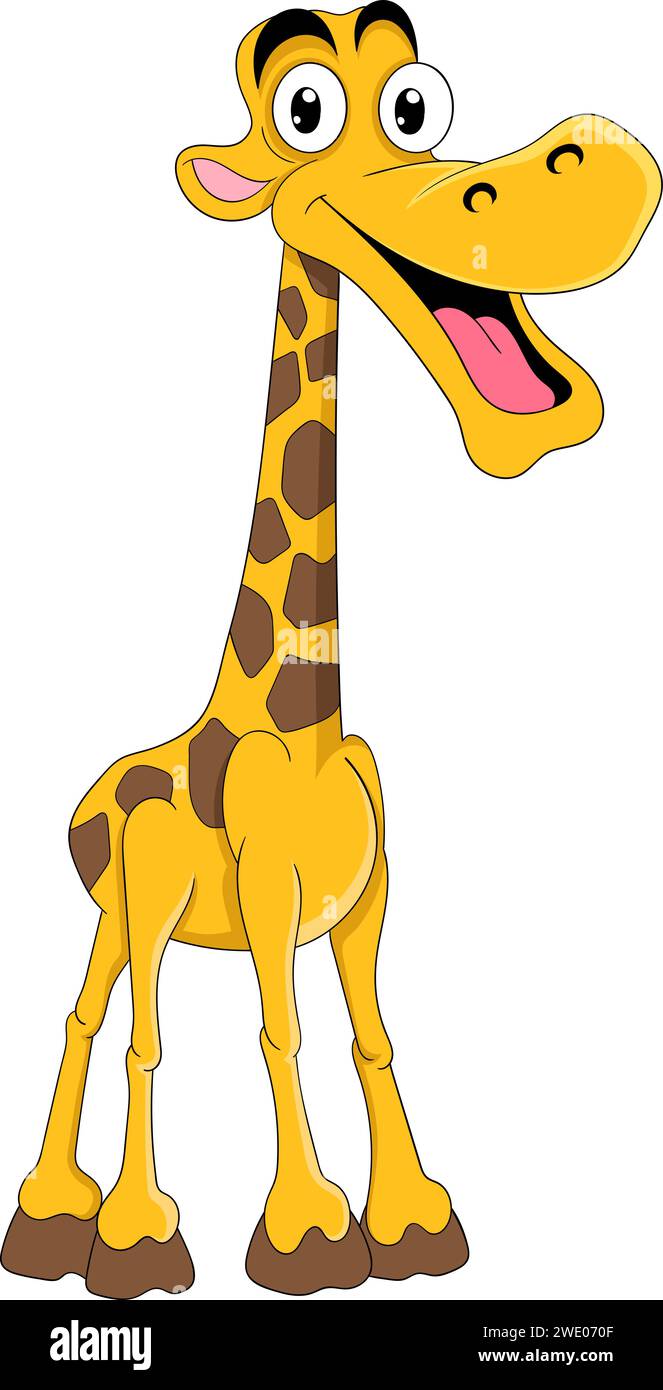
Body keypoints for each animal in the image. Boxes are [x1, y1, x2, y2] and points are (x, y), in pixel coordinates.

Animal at [2, 4, 659, 1300]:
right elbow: (279, 1027)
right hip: (137, 893)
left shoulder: (368, 895)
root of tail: (90, 794)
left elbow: (367, 1030)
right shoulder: (265, 894)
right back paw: (94, 1228)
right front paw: (304, 1232)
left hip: (147, 913)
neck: (302, 727)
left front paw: (409, 1222)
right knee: (113, 1019)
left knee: (119, 1016)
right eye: (306, 111)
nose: (592, 155)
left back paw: (86, 1215)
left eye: (414, 107)